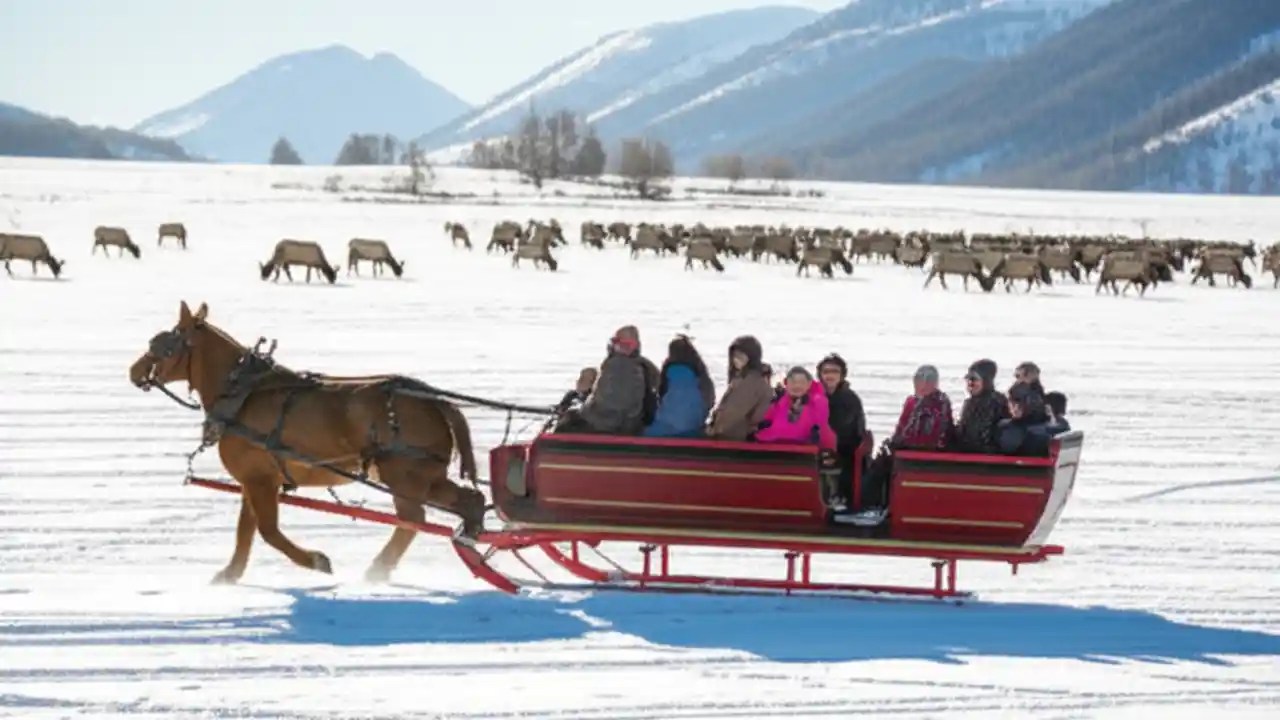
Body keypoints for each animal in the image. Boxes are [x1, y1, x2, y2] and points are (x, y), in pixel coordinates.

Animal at [127, 301, 486, 584]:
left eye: (164, 343)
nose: (134, 370)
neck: (243, 393)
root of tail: (435, 401)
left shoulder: (260, 479)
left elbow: (268, 531)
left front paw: (316, 560)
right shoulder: (254, 479)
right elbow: (245, 531)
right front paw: (229, 575)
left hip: (403, 475)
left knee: (412, 520)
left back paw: (377, 570)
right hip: (425, 476)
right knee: (468, 500)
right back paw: (470, 538)